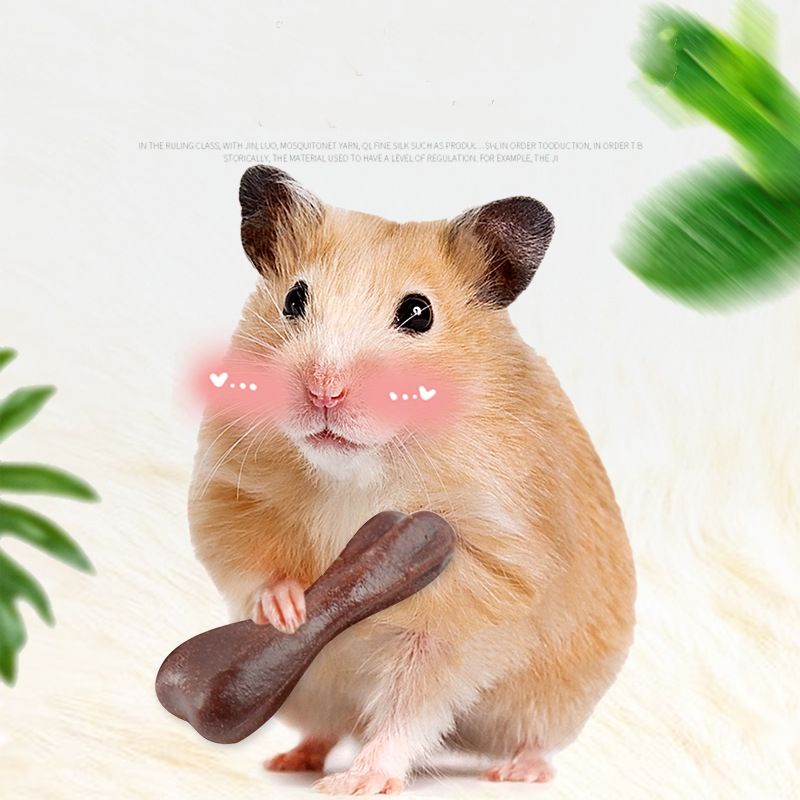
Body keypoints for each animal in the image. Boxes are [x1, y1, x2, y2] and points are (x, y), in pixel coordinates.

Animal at [188, 166, 636, 795]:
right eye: (294, 298)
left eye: (419, 313)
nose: (324, 391)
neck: (362, 470)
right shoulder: (230, 489)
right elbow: (249, 562)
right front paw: (289, 612)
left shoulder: (476, 592)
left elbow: (412, 701)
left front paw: (360, 783)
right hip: (311, 689)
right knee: (327, 726)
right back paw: (290, 760)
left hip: (555, 697)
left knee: (531, 736)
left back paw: (515, 771)